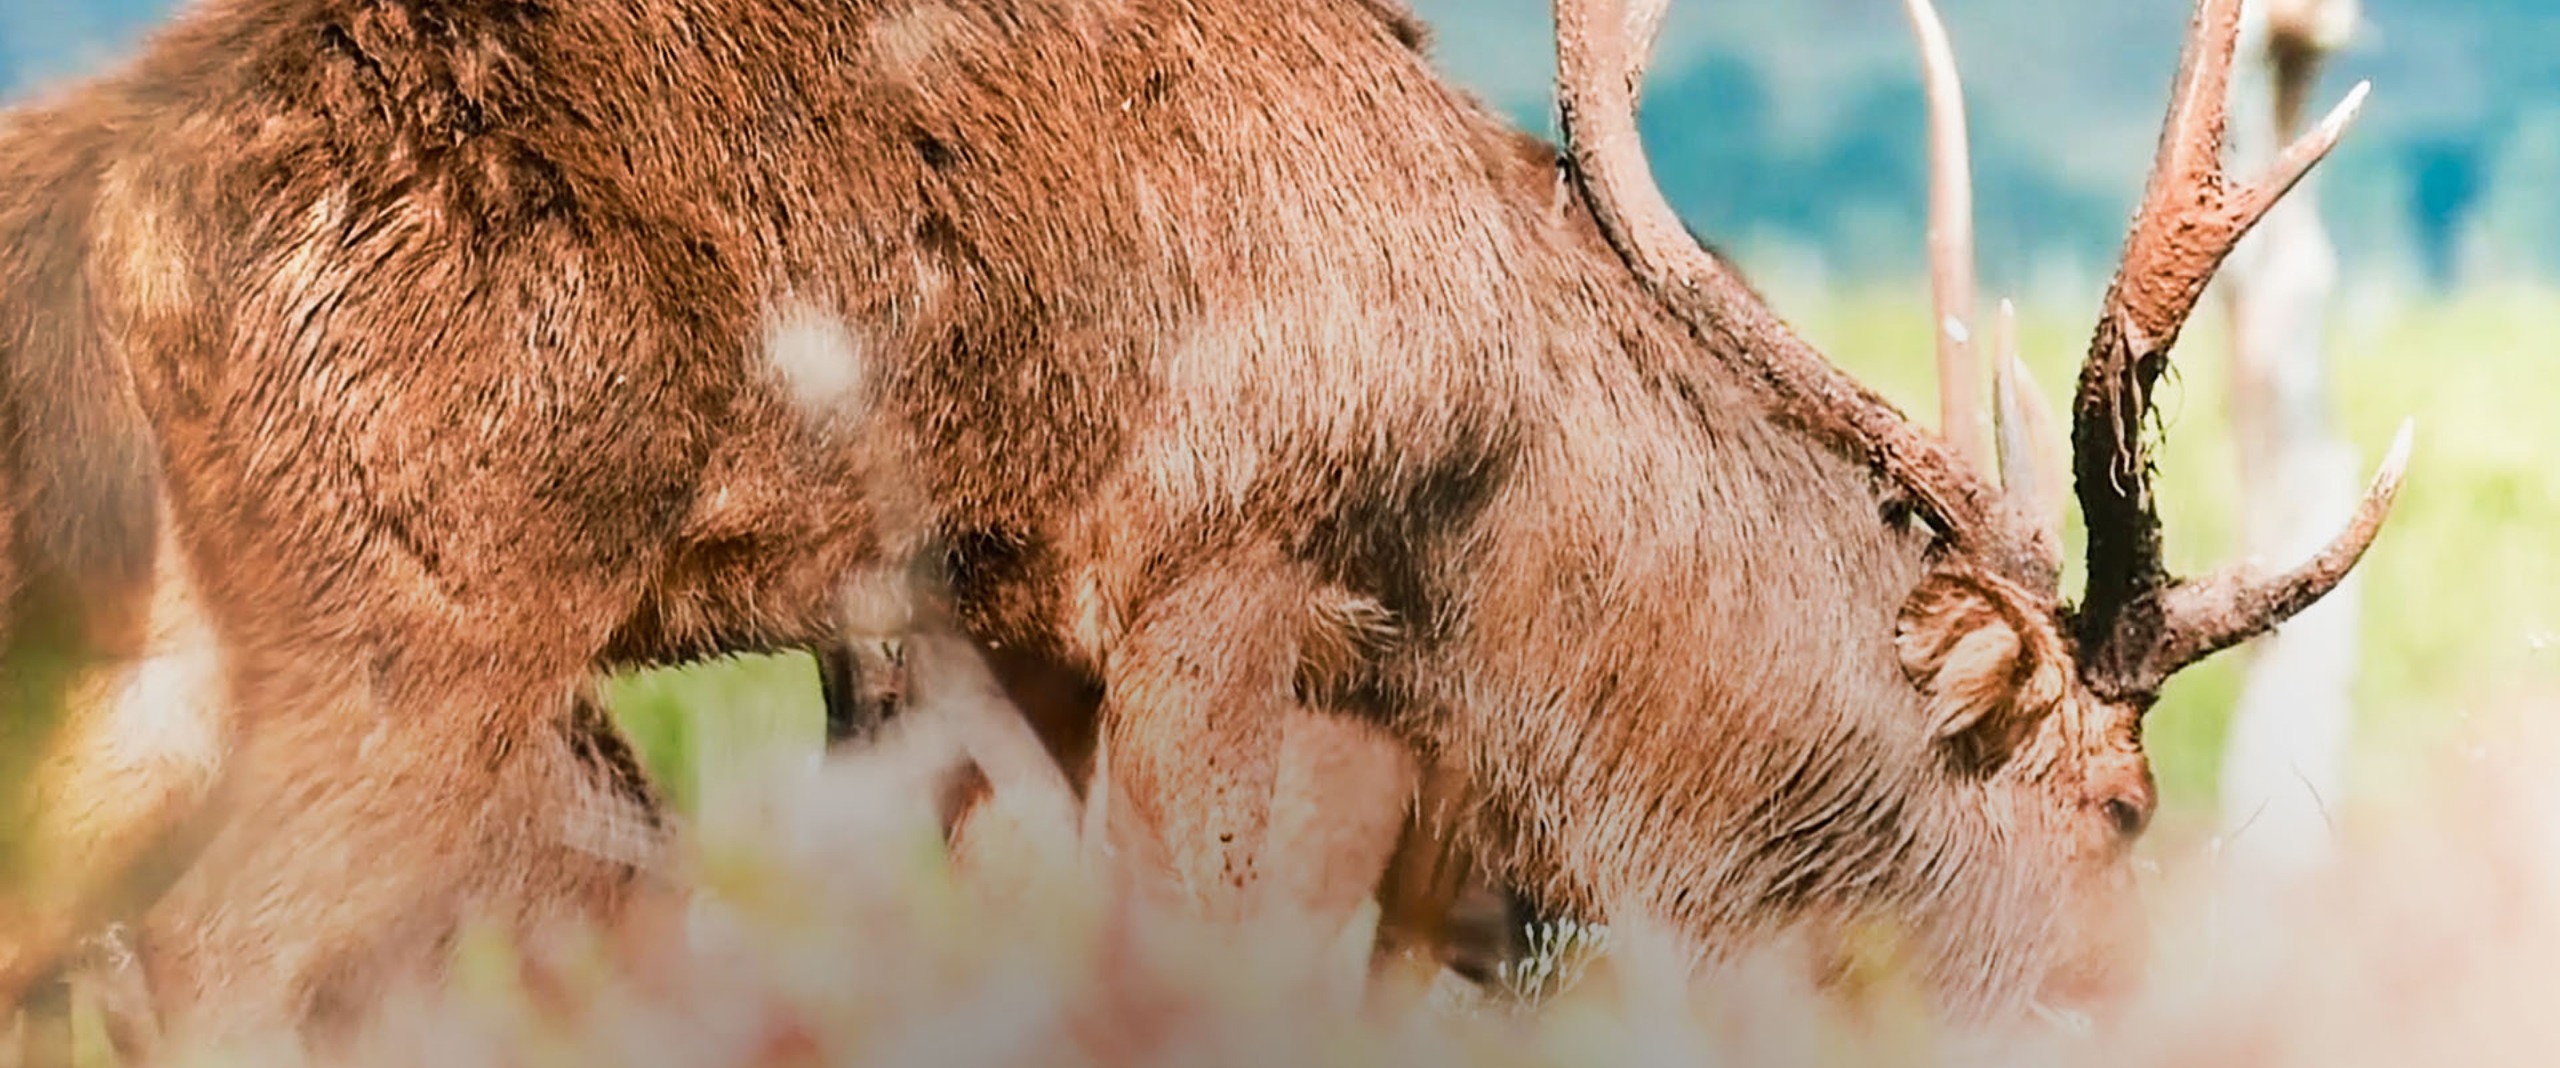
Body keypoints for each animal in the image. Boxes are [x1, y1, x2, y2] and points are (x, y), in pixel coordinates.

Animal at [0, 0, 2404, 1050]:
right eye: (2121, 807)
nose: (2149, 1014)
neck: (1483, 496)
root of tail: (96, 194)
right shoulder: (1212, 560)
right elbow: (1191, 964)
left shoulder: (981, 637)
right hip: (419, 606)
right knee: (223, 960)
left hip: (154, 652)